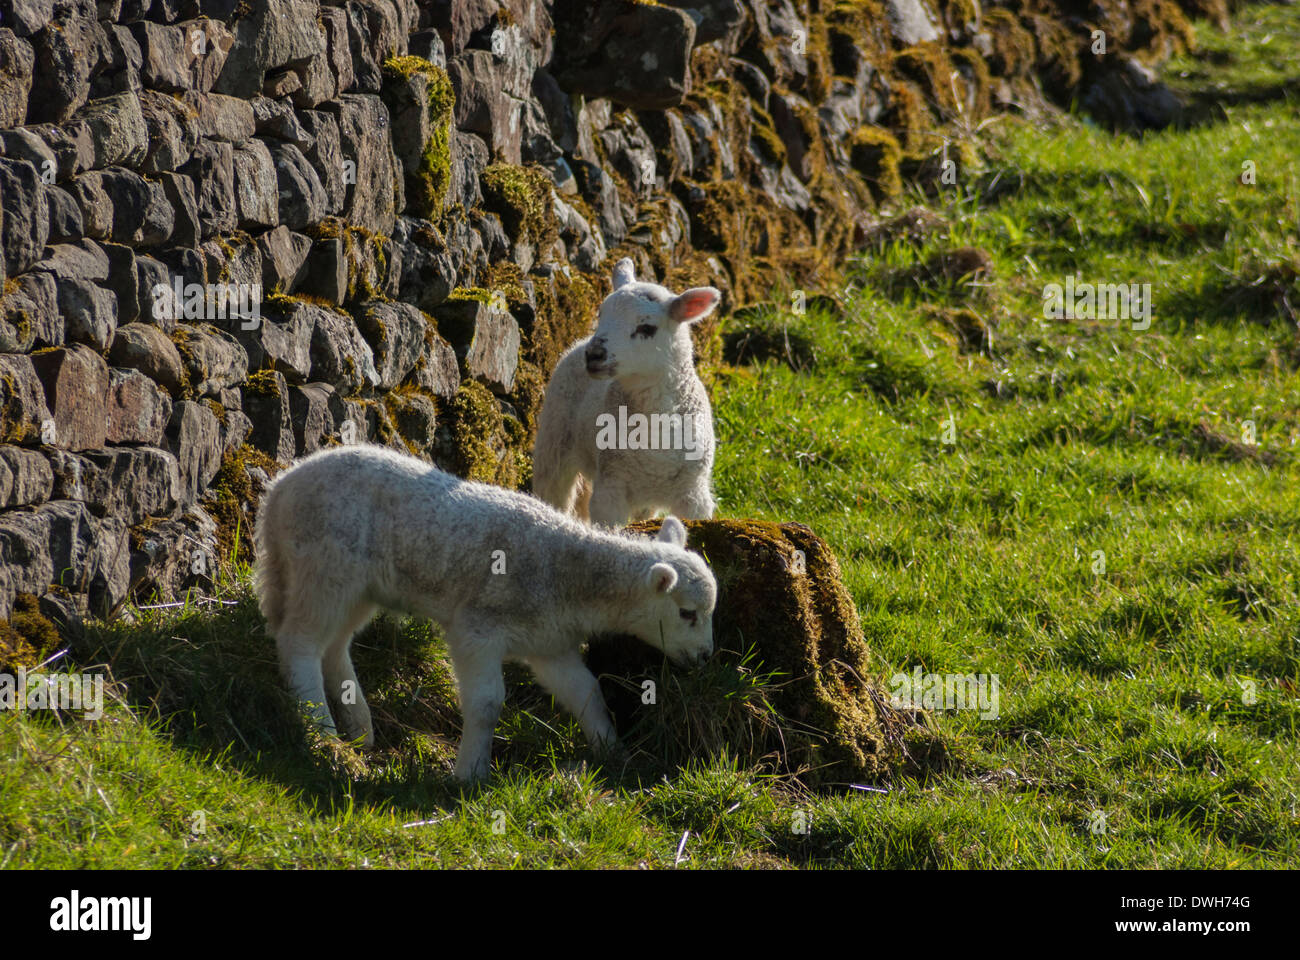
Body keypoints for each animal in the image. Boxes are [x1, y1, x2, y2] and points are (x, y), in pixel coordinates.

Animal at [253, 443, 716, 781]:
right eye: (687, 613)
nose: (706, 657)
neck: (570, 573)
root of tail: (279, 489)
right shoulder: (477, 629)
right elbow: (488, 703)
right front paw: (470, 773)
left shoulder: (549, 643)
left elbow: (587, 693)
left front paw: (613, 752)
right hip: (325, 569)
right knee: (300, 643)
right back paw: (321, 730)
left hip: (357, 586)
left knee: (334, 646)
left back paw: (359, 729)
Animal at [533, 257, 721, 528]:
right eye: (600, 314)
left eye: (647, 328)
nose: (594, 355)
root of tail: (579, 342)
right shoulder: (611, 487)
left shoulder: (693, 496)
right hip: (555, 438)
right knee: (553, 489)